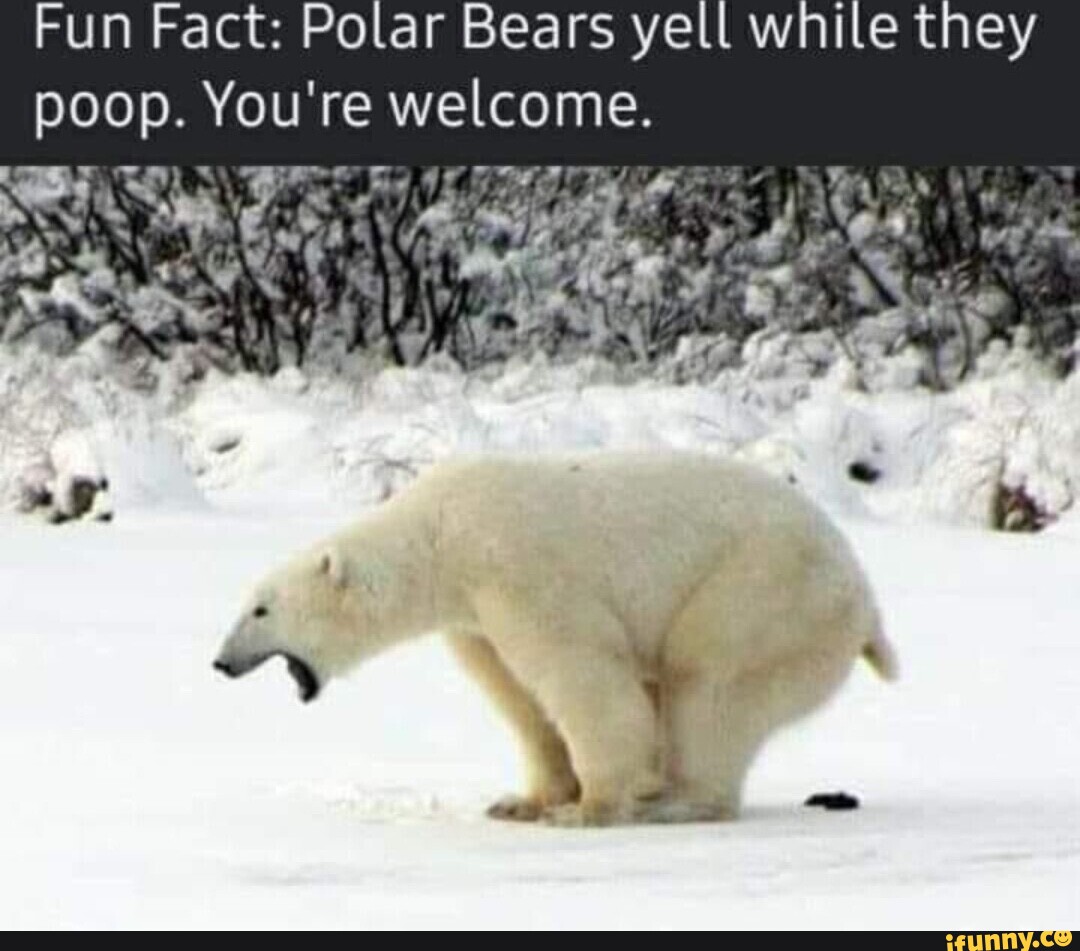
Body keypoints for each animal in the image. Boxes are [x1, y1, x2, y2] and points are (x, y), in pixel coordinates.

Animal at [213, 452, 897, 826]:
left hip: (768, 590)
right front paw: (521, 801)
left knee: (707, 681)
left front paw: (587, 808)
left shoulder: (516, 566)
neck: (439, 537)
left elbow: (581, 673)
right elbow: (518, 696)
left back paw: (674, 799)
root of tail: (865, 600)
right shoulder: (474, 617)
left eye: (261, 609)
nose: (220, 663)